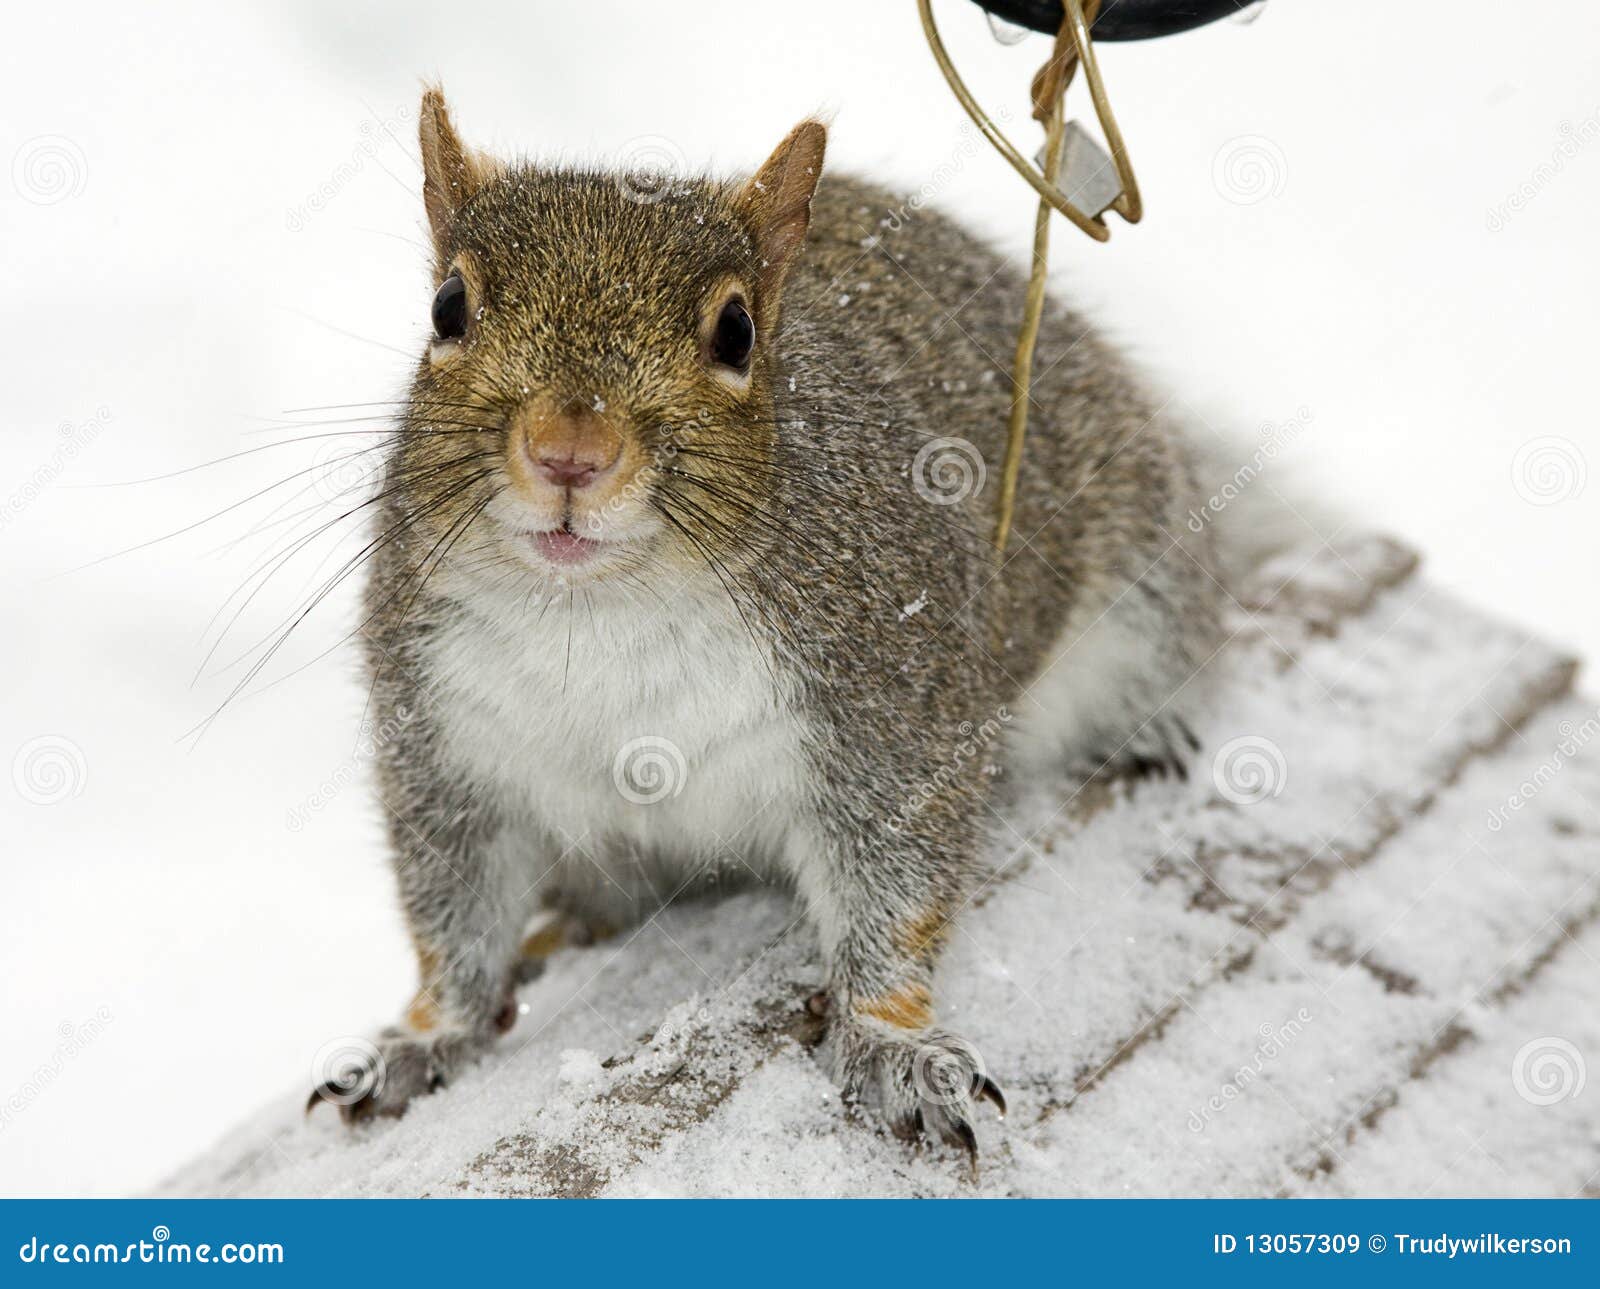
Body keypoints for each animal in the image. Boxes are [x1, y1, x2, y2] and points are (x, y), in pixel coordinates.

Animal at [308, 87, 1228, 1168]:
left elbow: (896, 891)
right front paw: (423, 1037)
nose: (570, 450)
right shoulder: (444, 744)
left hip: (1139, 570)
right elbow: (451, 912)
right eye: (447, 308)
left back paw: (1153, 731)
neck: (599, 609)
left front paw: (893, 1044)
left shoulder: (892, 711)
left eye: (737, 331)